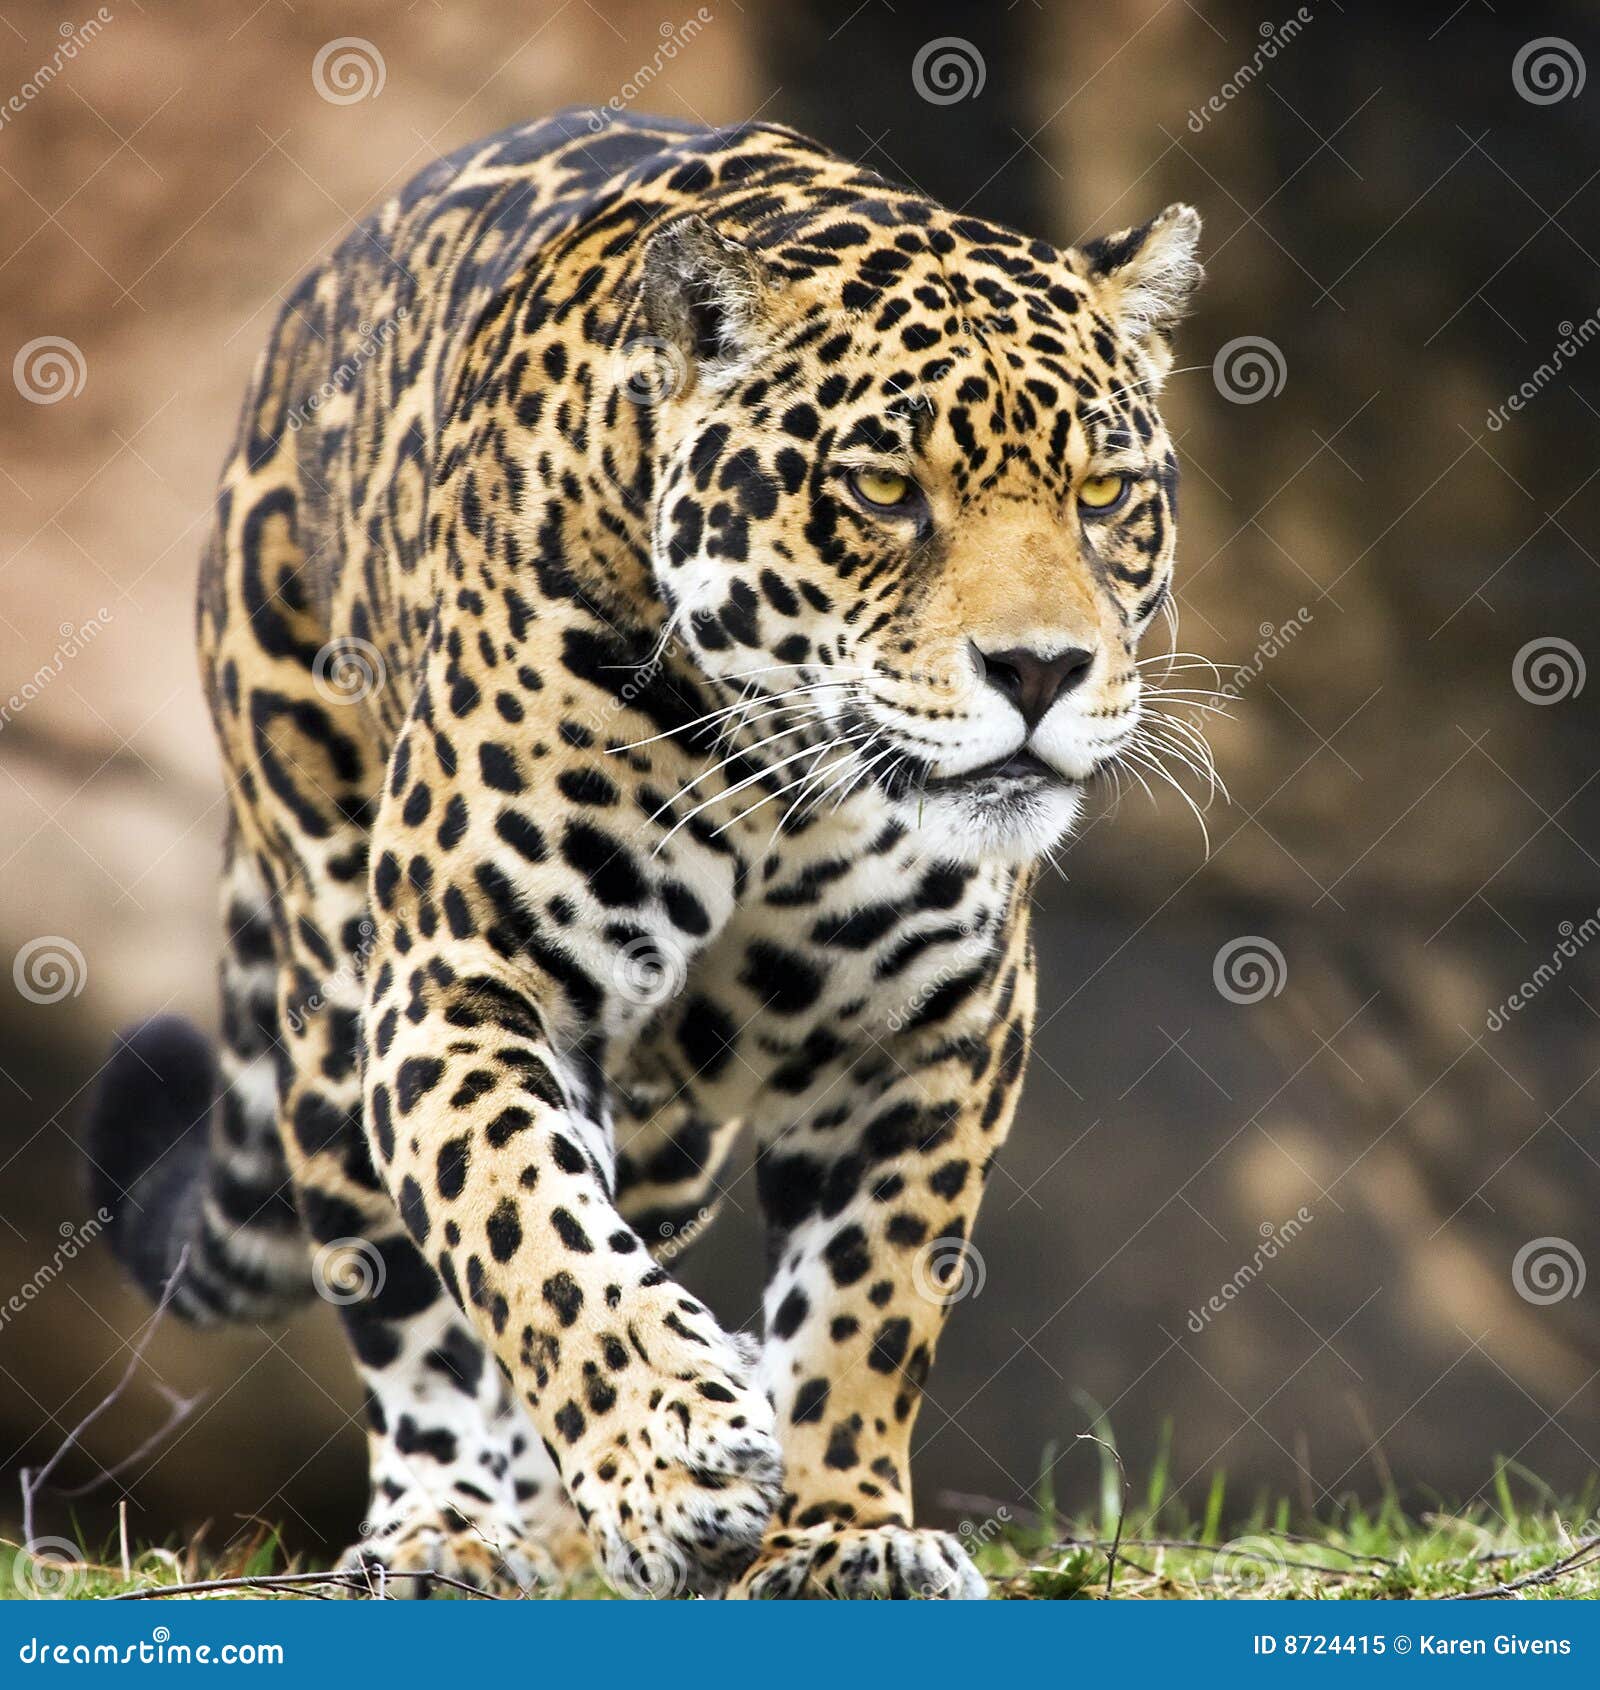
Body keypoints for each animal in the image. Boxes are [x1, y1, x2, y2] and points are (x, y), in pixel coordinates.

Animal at [87, 108, 1202, 1601]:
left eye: (1105, 493)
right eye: (883, 489)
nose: (1042, 670)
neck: (793, 783)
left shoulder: (935, 1030)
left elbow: (872, 1299)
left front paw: (842, 1528)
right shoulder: (467, 978)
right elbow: (527, 1226)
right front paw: (673, 1452)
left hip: (665, 1123)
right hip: (328, 975)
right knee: (409, 1303)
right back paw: (447, 1530)